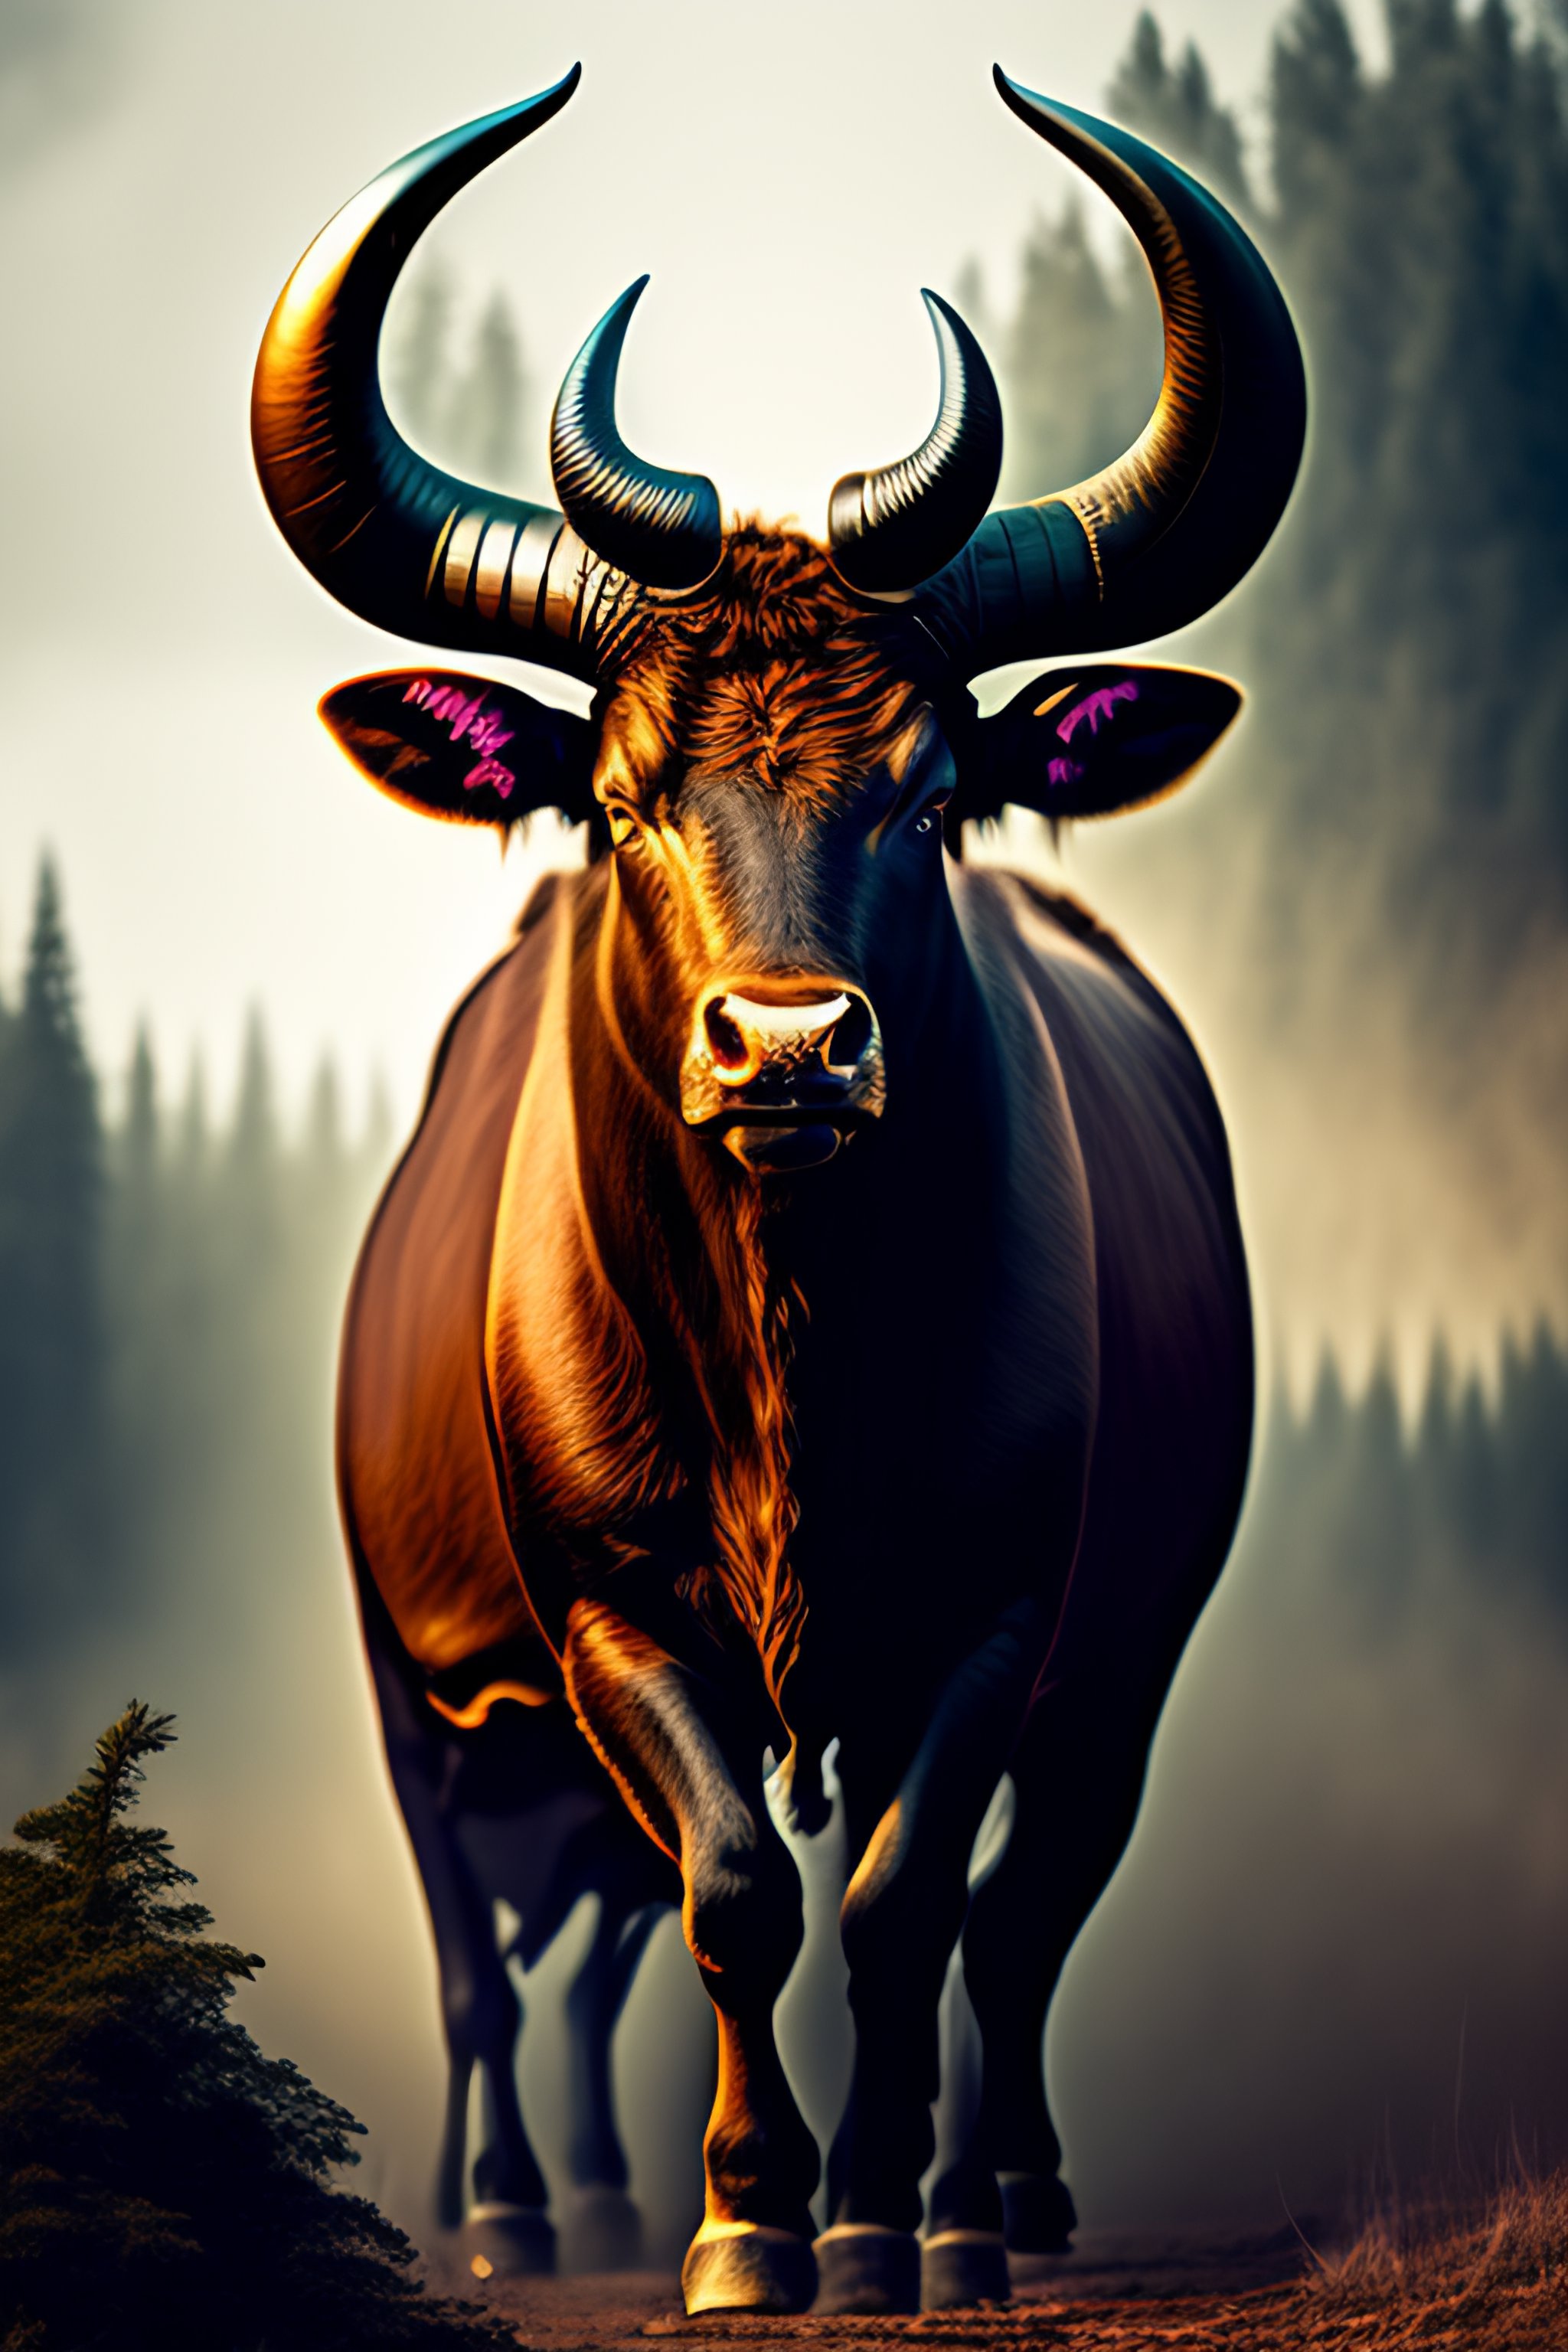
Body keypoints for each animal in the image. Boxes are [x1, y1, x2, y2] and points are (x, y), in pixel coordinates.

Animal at [251, 62, 1304, 2317]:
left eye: (930, 789)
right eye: (627, 795)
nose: (793, 1050)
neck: (783, 1362)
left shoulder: (1007, 1618)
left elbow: (911, 1902)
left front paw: (896, 2218)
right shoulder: (601, 1617)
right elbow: (733, 1888)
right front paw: (745, 2219)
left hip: (1121, 1676)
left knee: (1019, 1917)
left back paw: (1002, 2193)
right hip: (420, 1703)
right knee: (489, 1971)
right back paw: (515, 2206)